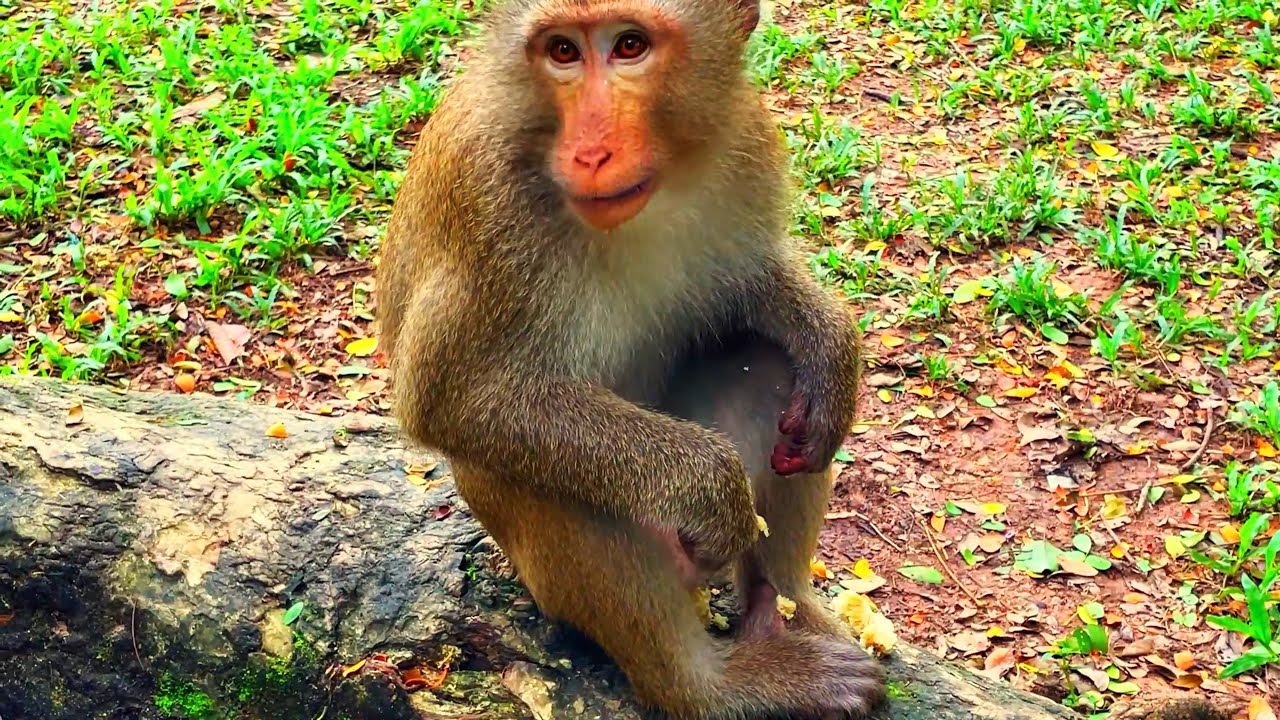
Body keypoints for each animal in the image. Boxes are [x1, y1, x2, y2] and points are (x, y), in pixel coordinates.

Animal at [375, 0, 886, 715]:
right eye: (563, 51)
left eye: (630, 46)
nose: (590, 152)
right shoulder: (488, 207)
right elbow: (451, 398)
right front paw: (707, 485)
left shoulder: (746, 143)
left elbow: (750, 289)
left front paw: (830, 343)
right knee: (548, 472)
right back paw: (712, 688)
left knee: (775, 375)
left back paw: (783, 608)